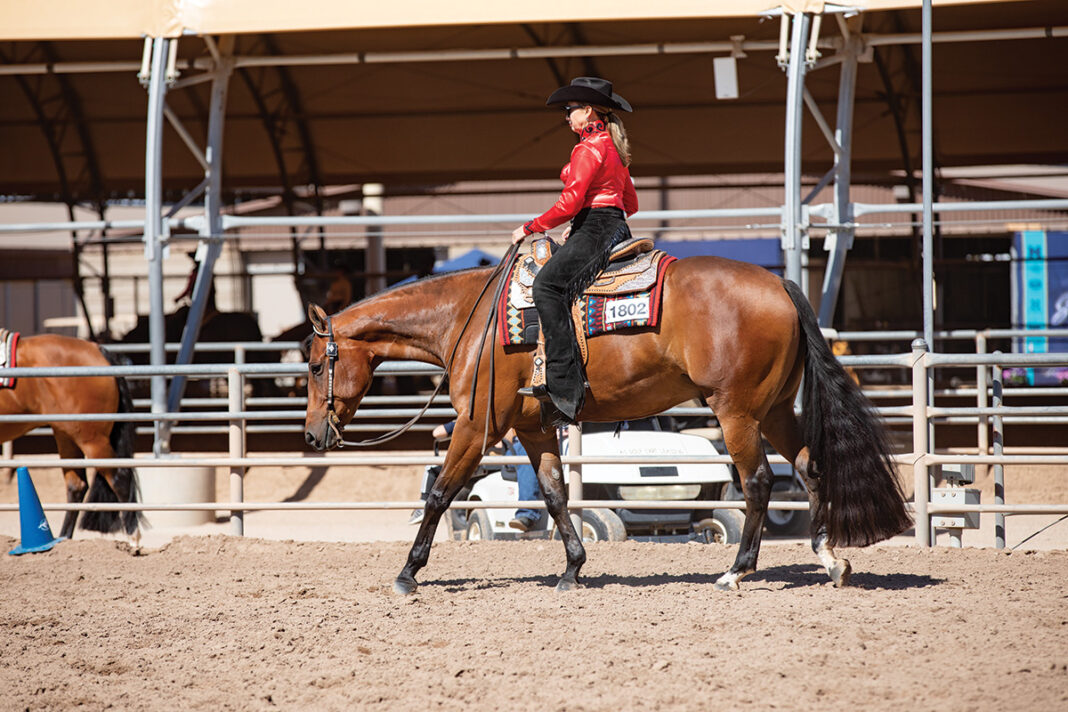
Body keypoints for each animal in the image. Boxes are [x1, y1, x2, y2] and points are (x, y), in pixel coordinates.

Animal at [1, 334, 142, 540]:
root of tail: (96, 349)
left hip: (92, 439)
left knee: (119, 478)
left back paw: (133, 537)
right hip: (66, 435)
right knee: (76, 485)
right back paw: (63, 539)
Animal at [302, 256, 912, 593]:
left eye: (312, 365)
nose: (311, 435)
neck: (469, 321)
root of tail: (779, 284)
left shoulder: (477, 427)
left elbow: (441, 495)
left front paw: (408, 573)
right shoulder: (534, 429)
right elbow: (554, 494)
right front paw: (573, 569)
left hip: (736, 410)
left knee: (758, 482)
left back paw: (736, 571)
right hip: (777, 407)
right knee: (809, 468)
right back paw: (829, 559)